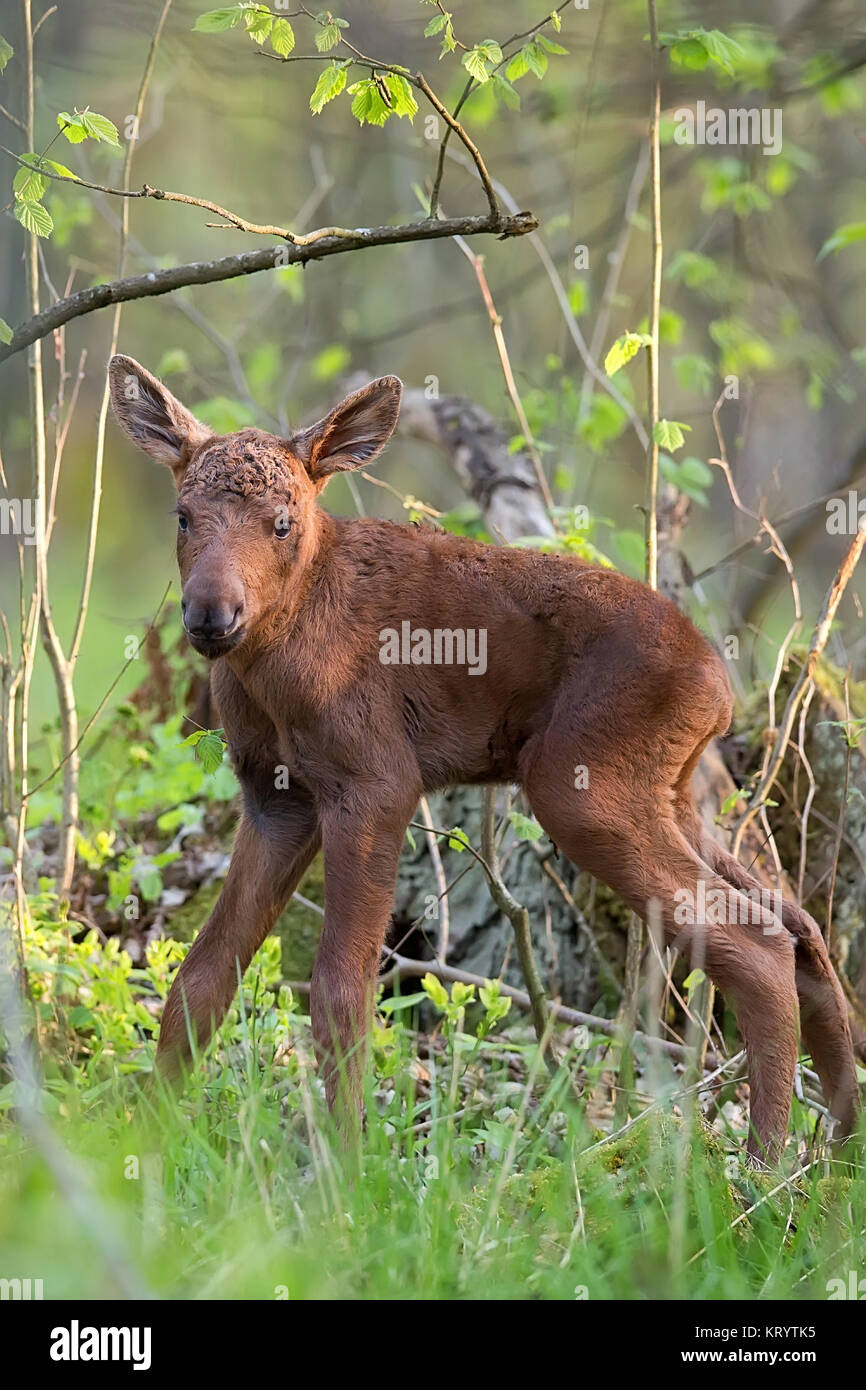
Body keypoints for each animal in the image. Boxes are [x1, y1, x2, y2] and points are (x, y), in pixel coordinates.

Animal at [108, 353, 861, 1164]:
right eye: (182, 516)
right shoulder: (276, 799)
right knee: (796, 923)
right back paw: (838, 1145)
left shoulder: (376, 780)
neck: (273, 669)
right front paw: (144, 1137)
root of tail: (718, 686)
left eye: (283, 522)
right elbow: (203, 975)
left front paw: (349, 1162)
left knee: (757, 942)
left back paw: (764, 1162)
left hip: (581, 786)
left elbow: (341, 988)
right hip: (670, 792)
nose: (210, 615)